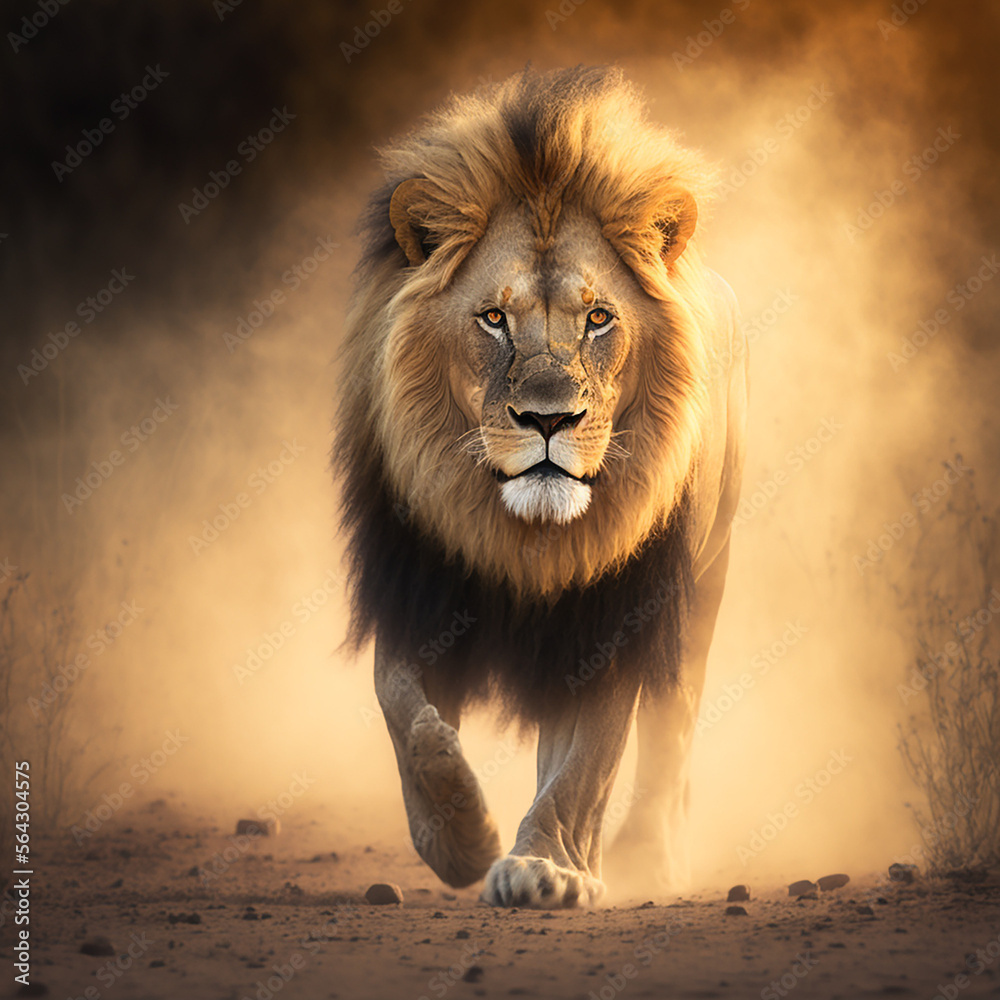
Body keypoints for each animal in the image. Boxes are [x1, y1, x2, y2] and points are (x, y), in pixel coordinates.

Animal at [335, 66, 747, 908]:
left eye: (599, 319)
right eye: (493, 317)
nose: (550, 418)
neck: (526, 538)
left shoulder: (615, 615)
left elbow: (589, 759)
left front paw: (550, 867)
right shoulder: (417, 586)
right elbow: (405, 711)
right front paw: (462, 836)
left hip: (703, 589)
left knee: (670, 734)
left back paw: (648, 856)